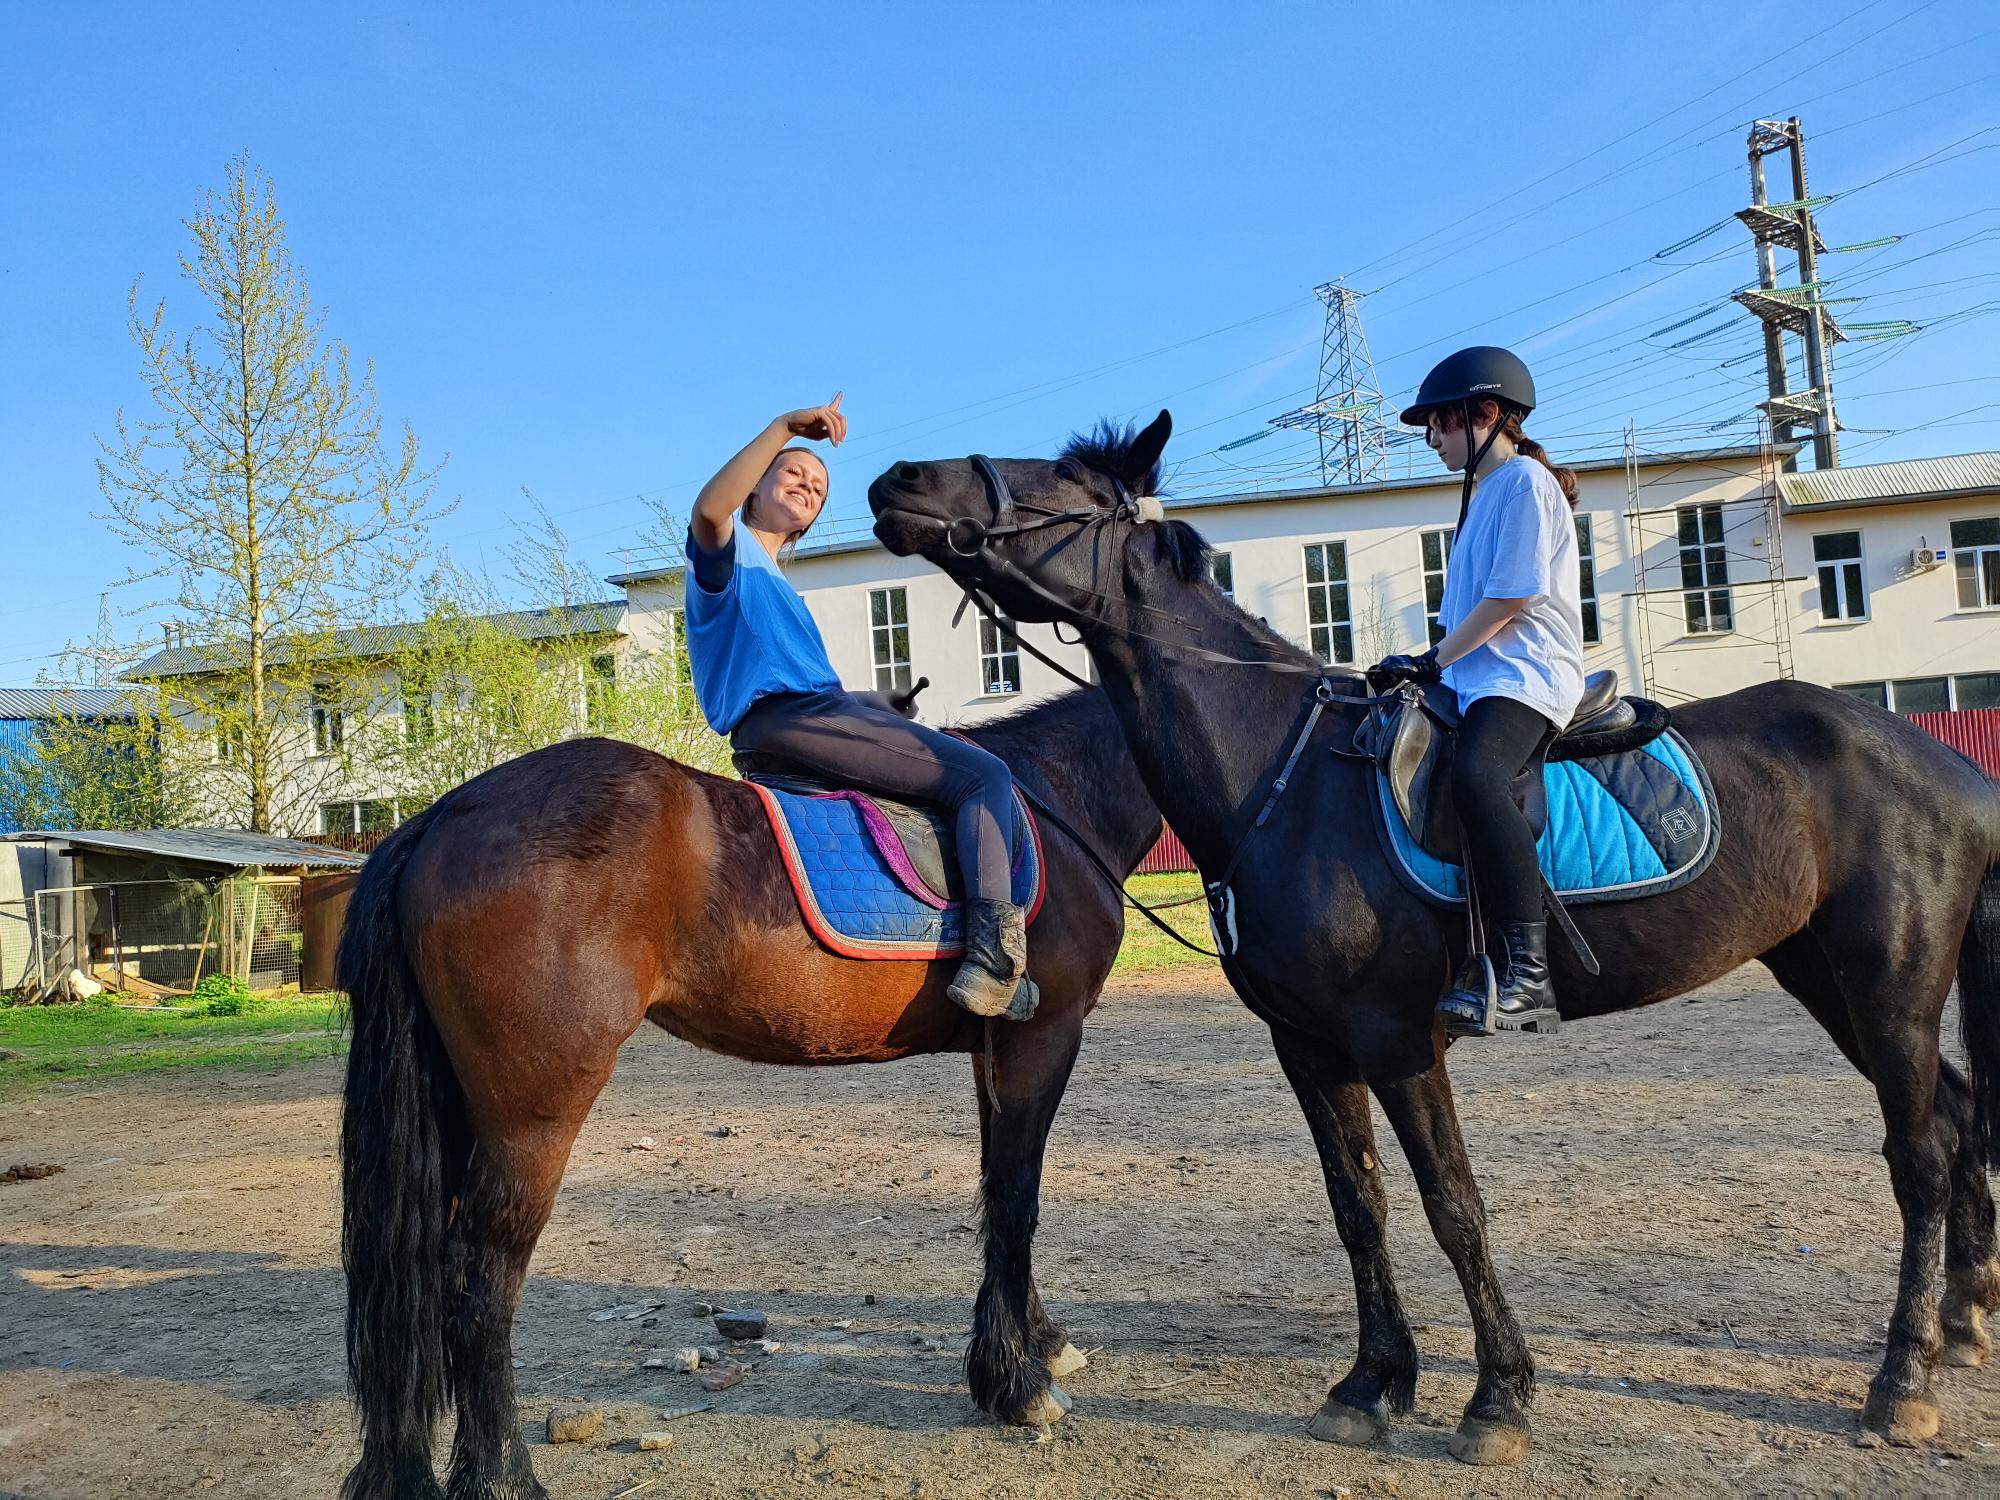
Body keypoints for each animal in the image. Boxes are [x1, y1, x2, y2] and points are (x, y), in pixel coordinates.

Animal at [335, 688, 1167, 1500]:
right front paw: (1016, 1385)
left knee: (415, 1279)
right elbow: (1020, 1199)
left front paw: (1038, 1346)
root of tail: (446, 813)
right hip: (530, 1117)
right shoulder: (1042, 1039)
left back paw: (401, 1470)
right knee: (478, 1283)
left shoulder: (997, 1052)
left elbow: (1000, 1194)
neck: (1058, 798)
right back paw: (501, 1476)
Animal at [866, 410, 2000, 1465]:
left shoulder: (1396, 1038)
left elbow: (1452, 1203)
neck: (1284, 778)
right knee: (1951, 1114)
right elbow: (1357, 1205)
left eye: (1055, 481)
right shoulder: (1309, 1045)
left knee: (1916, 1150)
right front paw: (1370, 1385)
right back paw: (1961, 1318)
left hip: (1887, 982)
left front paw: (1497, 1399)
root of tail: (1946, 764)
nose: (896, 480)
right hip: (1823, 971)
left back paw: (1901, 1384)